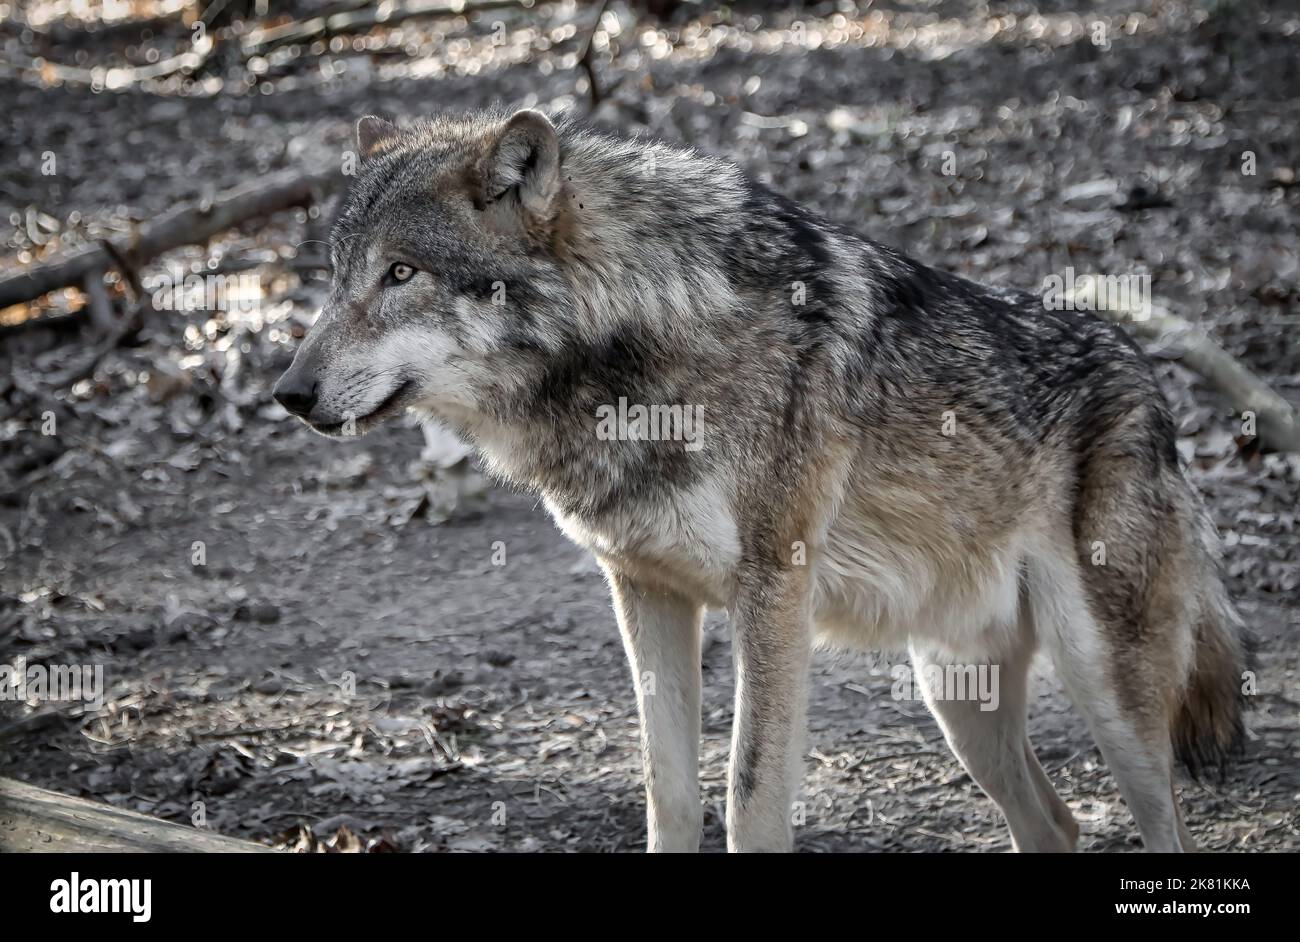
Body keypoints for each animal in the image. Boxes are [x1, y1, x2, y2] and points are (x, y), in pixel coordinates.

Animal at [273, 108, 1247, 852]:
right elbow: (669, 793)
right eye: (336, 280)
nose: (289, 392)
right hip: (954, 697)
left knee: (1161, 830)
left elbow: (750, 799)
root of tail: (1152, 385)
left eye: (401, 274)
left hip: (1105, 690)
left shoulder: (773, 591)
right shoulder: (644, 589)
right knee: (1057, 824)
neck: (635, 342)